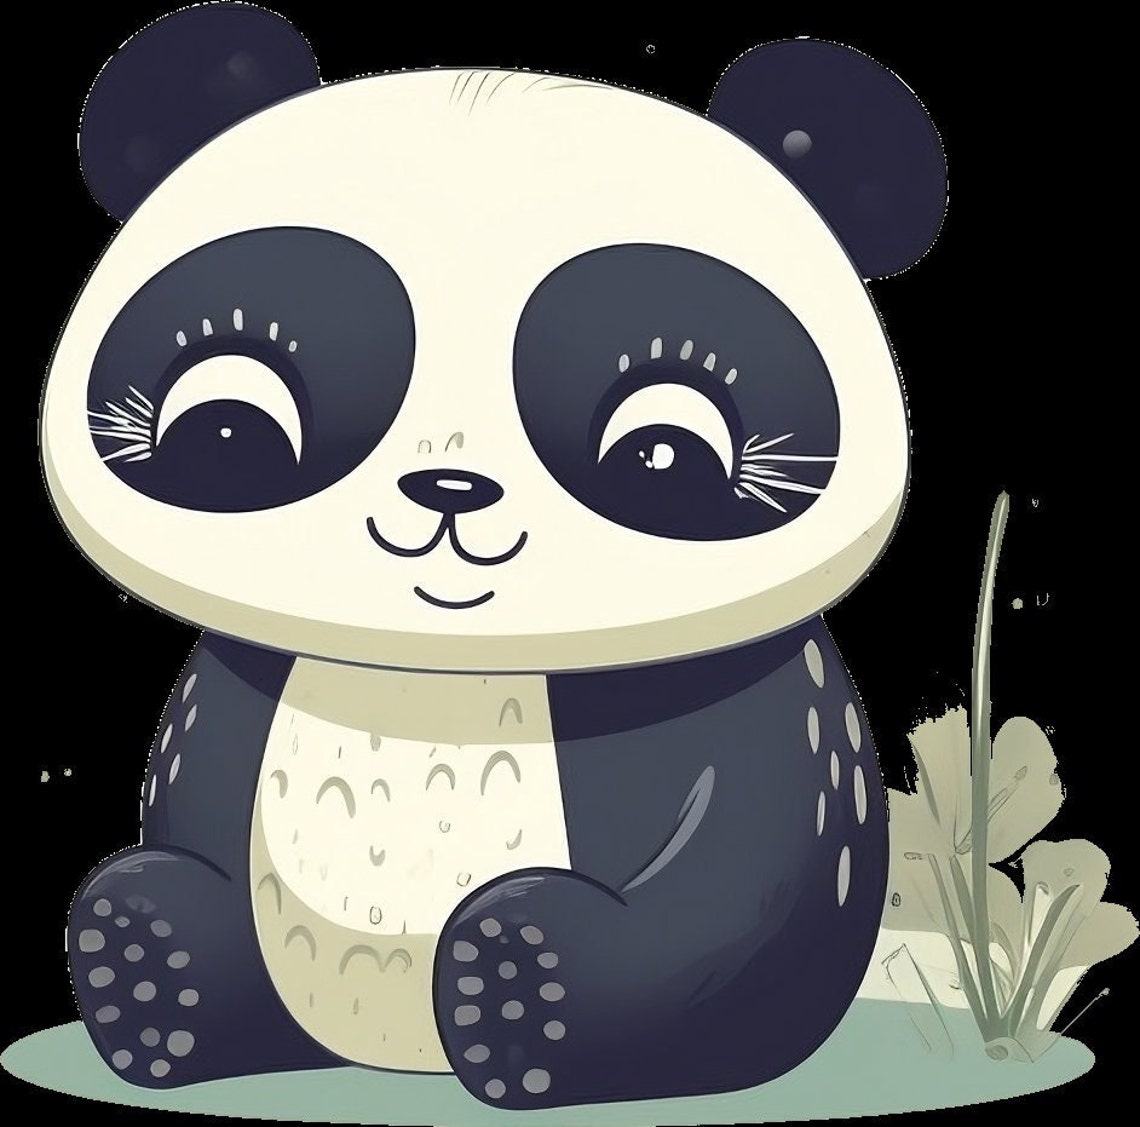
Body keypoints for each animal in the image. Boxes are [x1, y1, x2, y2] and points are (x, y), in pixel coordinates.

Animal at [39, 4, 946, 1112]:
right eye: (227, 430)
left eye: (664, 453)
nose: (450, 491)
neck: (444, 676)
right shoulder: (248, 688)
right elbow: (200, 788)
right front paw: (147, 943)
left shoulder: (747, 713)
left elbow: (737, 869)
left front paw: (522, 974)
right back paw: (147, 960)